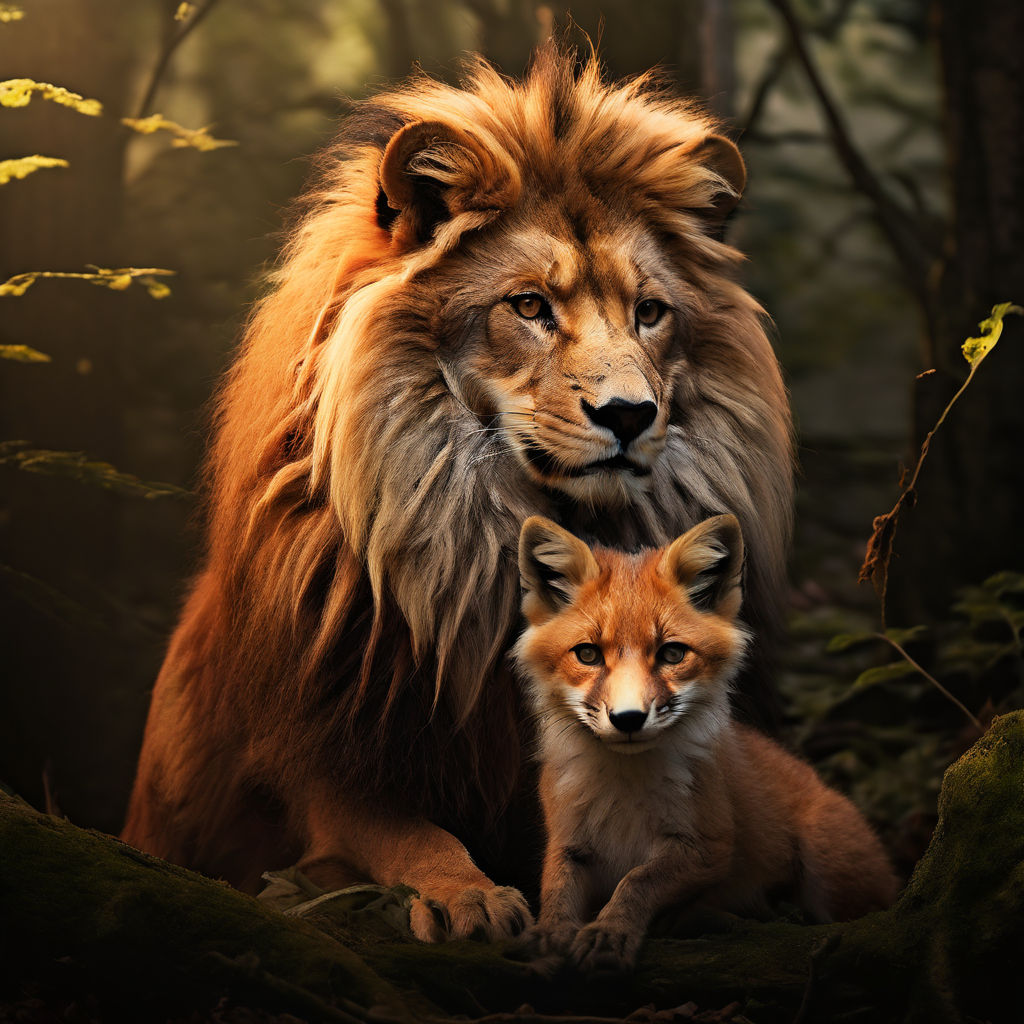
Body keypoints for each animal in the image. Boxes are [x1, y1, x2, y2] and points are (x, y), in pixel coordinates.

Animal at [121, 46, 793, 942]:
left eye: (650, 312)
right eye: (529, 305)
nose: (629, 414)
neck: (486, 534)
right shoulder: (323, 762)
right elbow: (410, 837)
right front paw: (471, 898)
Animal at [513, 513, 900, 972]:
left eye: (672, 654)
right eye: (588, 655)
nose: (628, 719)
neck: (624, 791)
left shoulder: (706, 847)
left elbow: (636, 881)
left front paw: (610, 932)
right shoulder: (569, 841)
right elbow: (555, 893)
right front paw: (549, 936)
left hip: (823, 859)